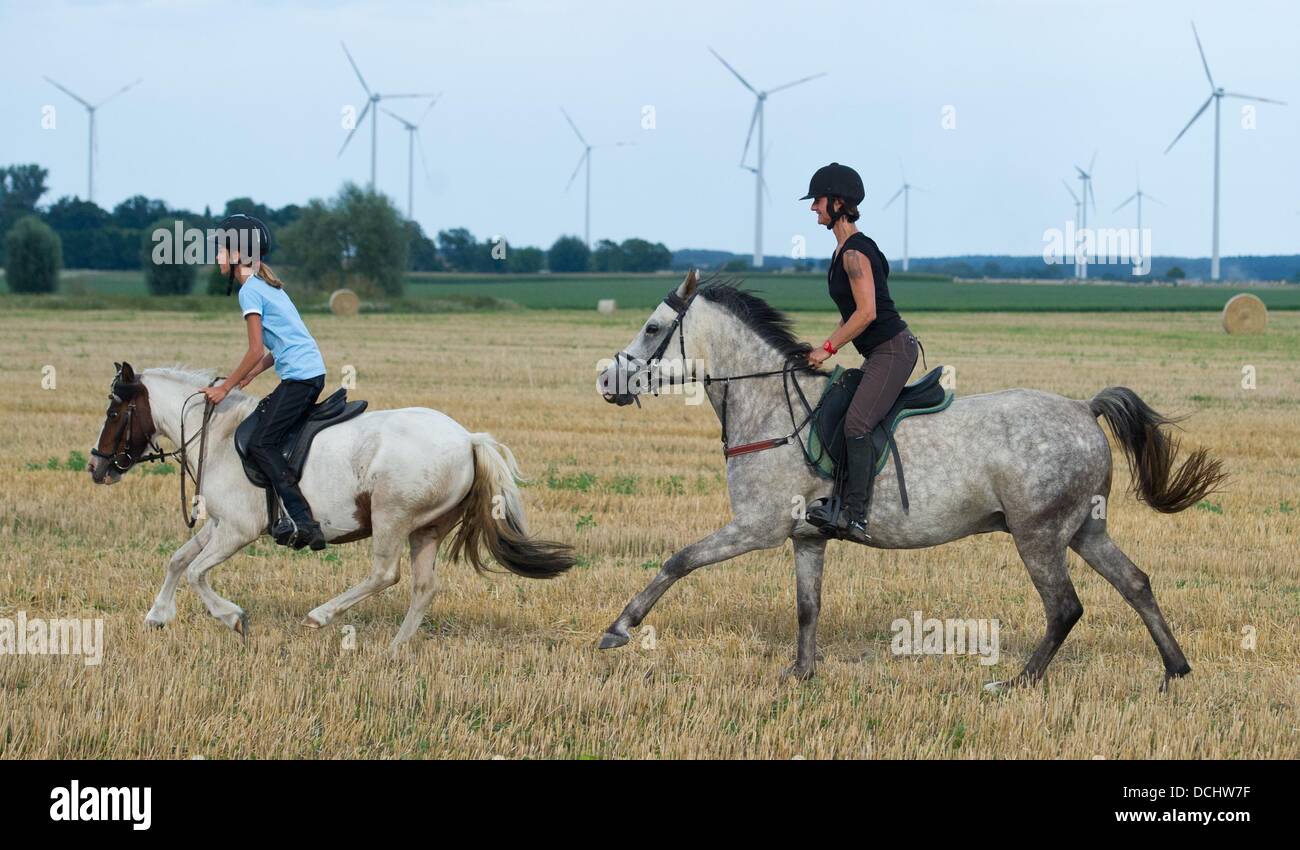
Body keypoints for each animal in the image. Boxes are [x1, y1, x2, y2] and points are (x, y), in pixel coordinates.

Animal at [87, 362, 575, 653]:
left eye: (114, 413)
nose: (96, 467)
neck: (220, 435)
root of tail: (468, 439)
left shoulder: (238, 530)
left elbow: (195, 572)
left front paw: (234, 618)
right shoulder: (222, 524)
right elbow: (178, 560)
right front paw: (157, 616)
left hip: (391, 515)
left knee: (385, 575)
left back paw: (320, 617)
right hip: (427, 529)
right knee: (423, 587)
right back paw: (395, 650)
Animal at [595, 271, 1226, 691]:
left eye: (652, 327)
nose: (606, 380)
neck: (771, 406)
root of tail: (1082, 408)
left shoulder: (756, 527)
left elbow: (678, 561)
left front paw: (619, 628)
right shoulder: (806, 537)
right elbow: (807, 607)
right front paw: (801, 673)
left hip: (1039, 535)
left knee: (1065, 608)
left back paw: (1016, 683)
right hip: (1084, 531)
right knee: (1136, 583)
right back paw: (1174, 670)